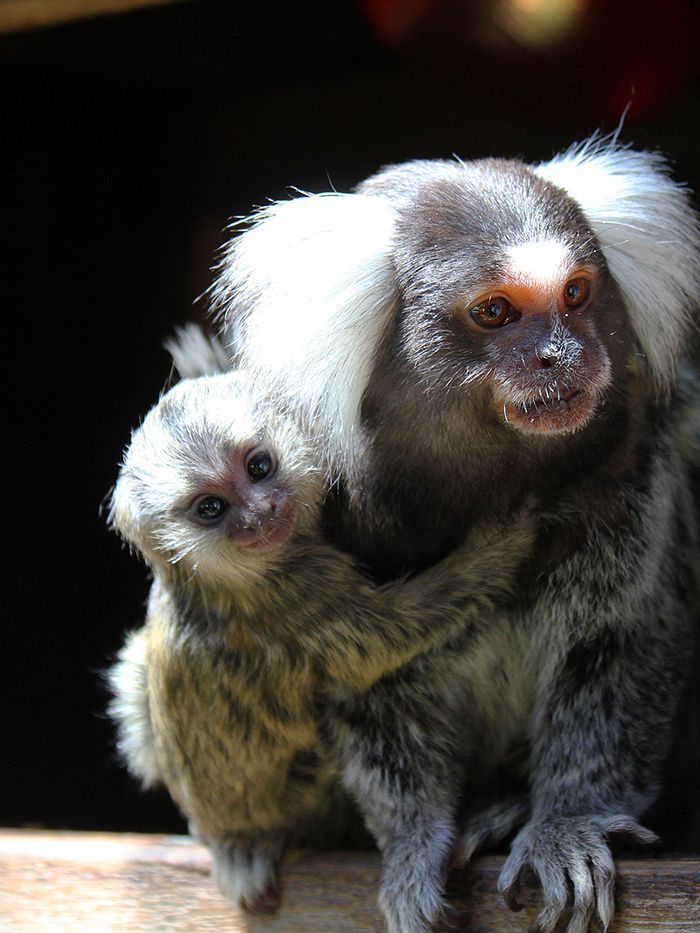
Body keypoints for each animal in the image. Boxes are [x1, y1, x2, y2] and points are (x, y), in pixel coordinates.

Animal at [107, 367, 533, 915]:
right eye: (212, 508)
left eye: (259, 466)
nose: (261, 513)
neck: (216, 576)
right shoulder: (300, 591)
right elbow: (383, 639)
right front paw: (503, 544)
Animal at [209, 137, 700, 932]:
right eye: (494, 311)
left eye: (576, 294)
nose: (563, 357)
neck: (493, 484)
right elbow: (370, 684)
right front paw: (414, 847)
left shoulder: (636, 470)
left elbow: (617, 646)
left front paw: (569, 823)